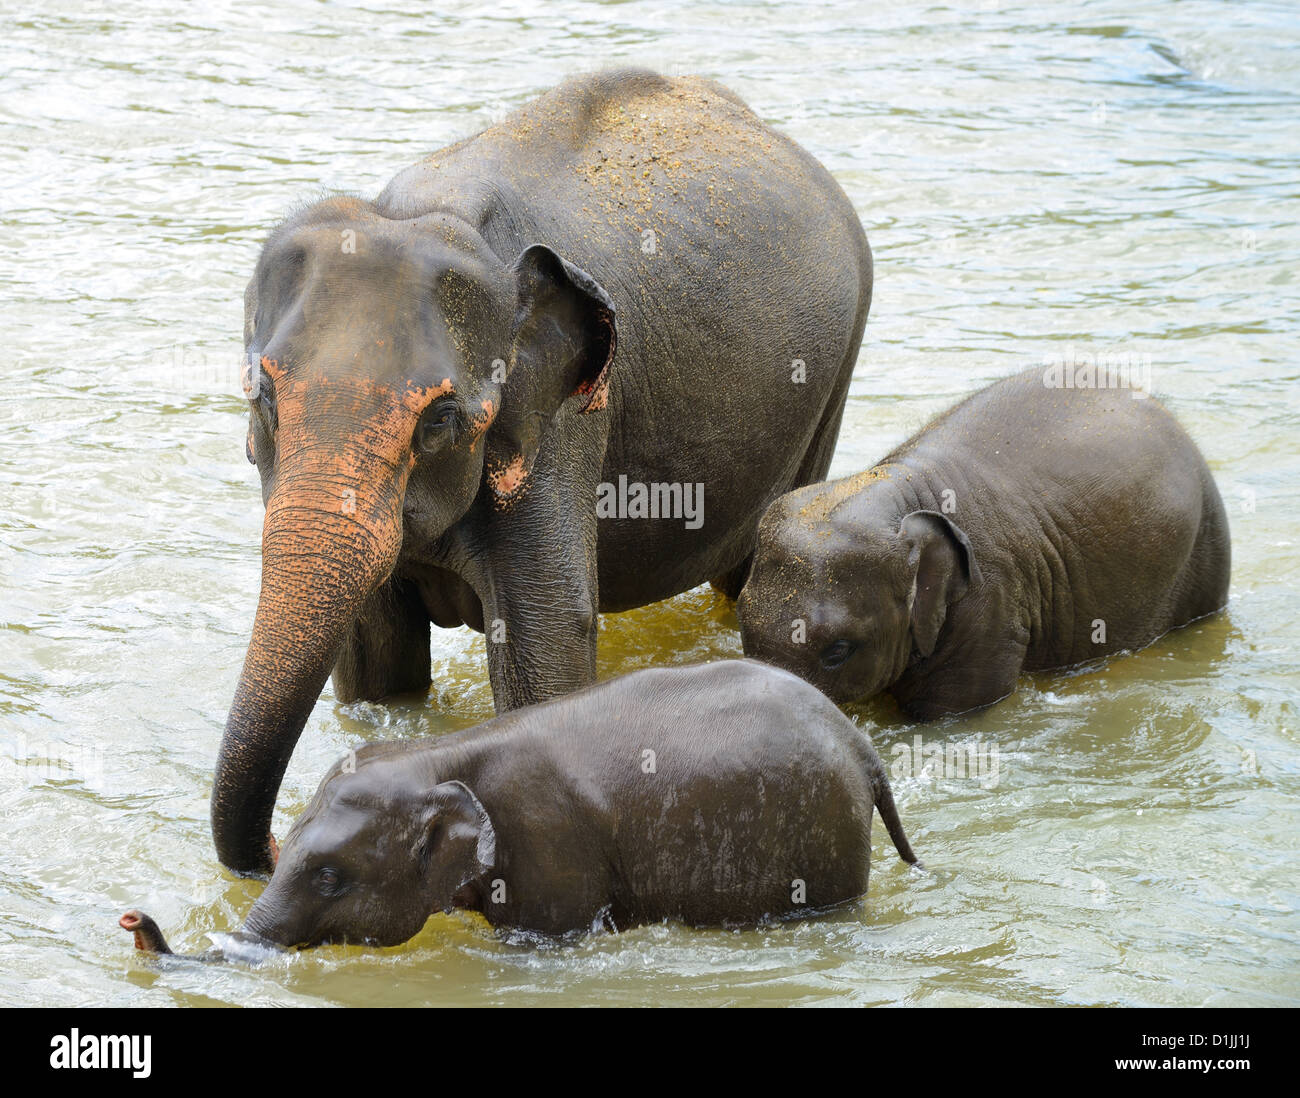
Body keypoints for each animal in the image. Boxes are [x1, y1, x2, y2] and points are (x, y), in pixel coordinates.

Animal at [128, 661, 917, 950]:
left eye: (329, 877)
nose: (135, 920)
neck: (444, 755)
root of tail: (859, 744)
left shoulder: (549, 846)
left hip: (825, 840)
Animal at [214, 68, 873, 876]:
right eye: (263, 396)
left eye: (441, 419)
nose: (278, 842)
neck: (425, 215)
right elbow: (376, 657)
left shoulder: (564, 425)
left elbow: (547, 648)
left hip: (832, 376)